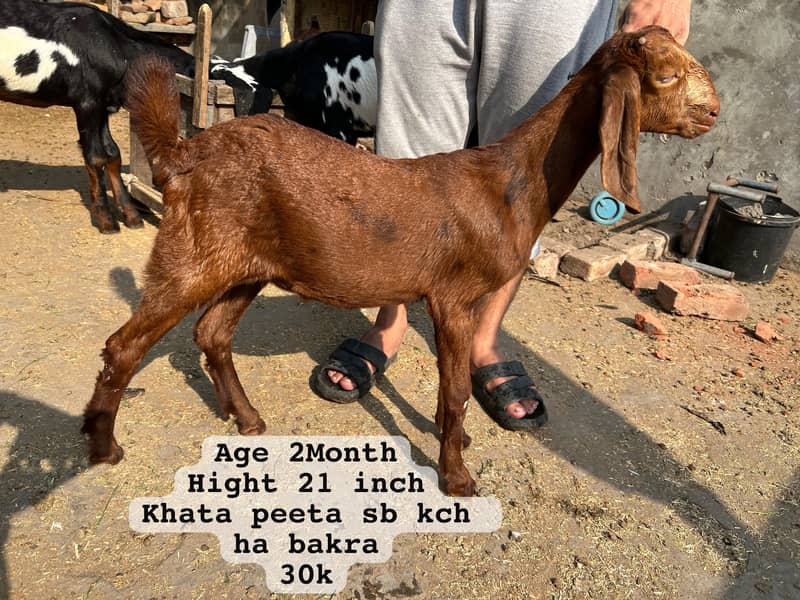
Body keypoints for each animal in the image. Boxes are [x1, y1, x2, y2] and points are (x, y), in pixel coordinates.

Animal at [0, 0, 195, 233]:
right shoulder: (87, 103)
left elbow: (113, 154)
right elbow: (95, 156)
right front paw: (106, 220)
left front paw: (132, 216)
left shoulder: (103, 106)